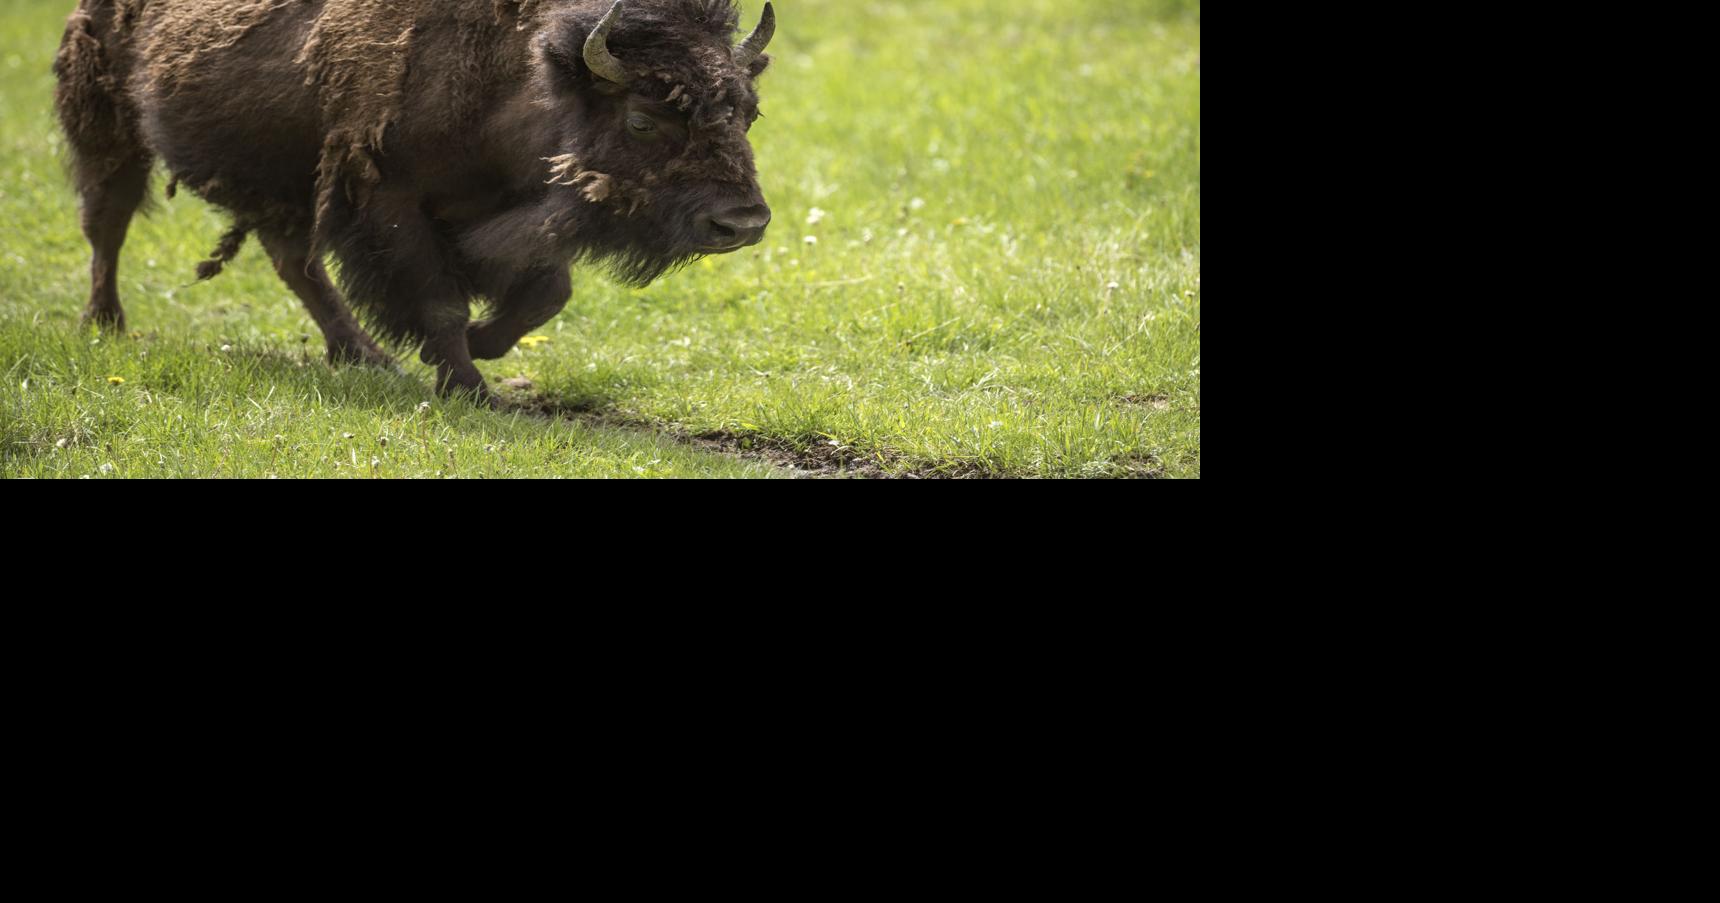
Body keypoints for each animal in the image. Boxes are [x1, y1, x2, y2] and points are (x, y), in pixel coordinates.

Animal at [54, 0, 777, 401]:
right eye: (642, 121)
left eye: (748, 111)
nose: (741, 221)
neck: (512, 80)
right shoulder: (391, 205)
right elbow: (440, 301)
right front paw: (467, 386)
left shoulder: (520, 215)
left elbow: (548, 292)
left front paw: (477, 348)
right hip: (110, 134)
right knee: (106, 226)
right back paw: (105, 323)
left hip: (286, 186)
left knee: (296, 262)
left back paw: (362, 354)